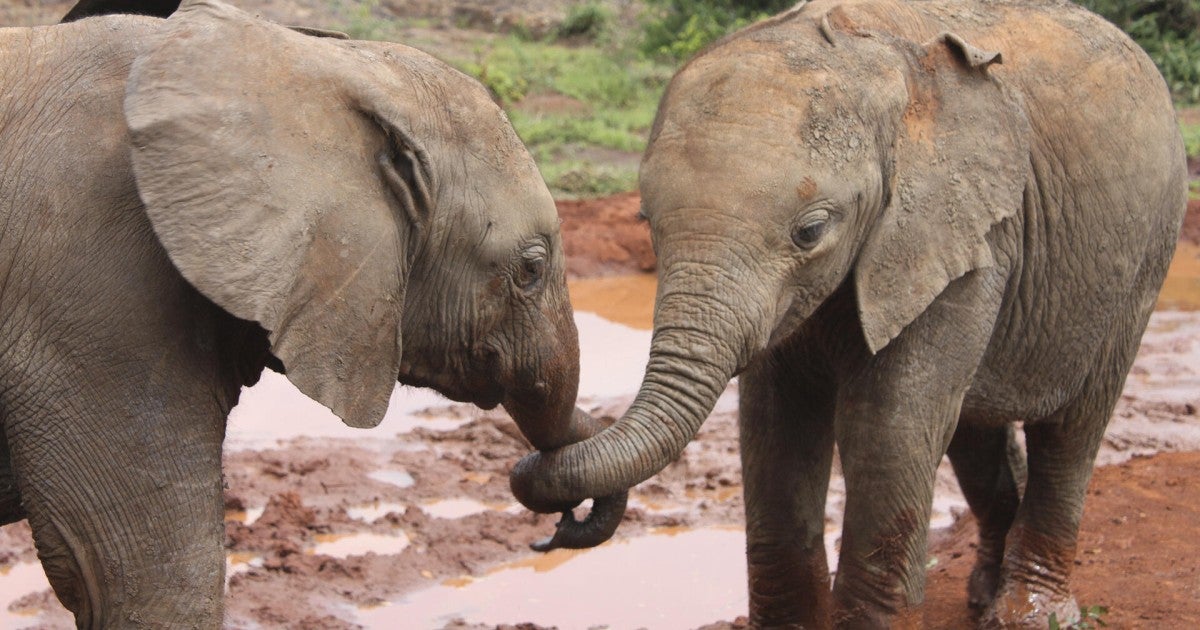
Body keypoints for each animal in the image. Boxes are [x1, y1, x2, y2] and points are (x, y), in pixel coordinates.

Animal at [511, 0, 1188, 626]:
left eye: (811, 231)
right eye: (646, 220)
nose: (557, 527)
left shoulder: (964, 237)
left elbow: (888, 429)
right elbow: (776, 429)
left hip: (1146, 251)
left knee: (1072, 430)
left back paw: (1029, 613)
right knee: (975, 437)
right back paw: (981, 595)